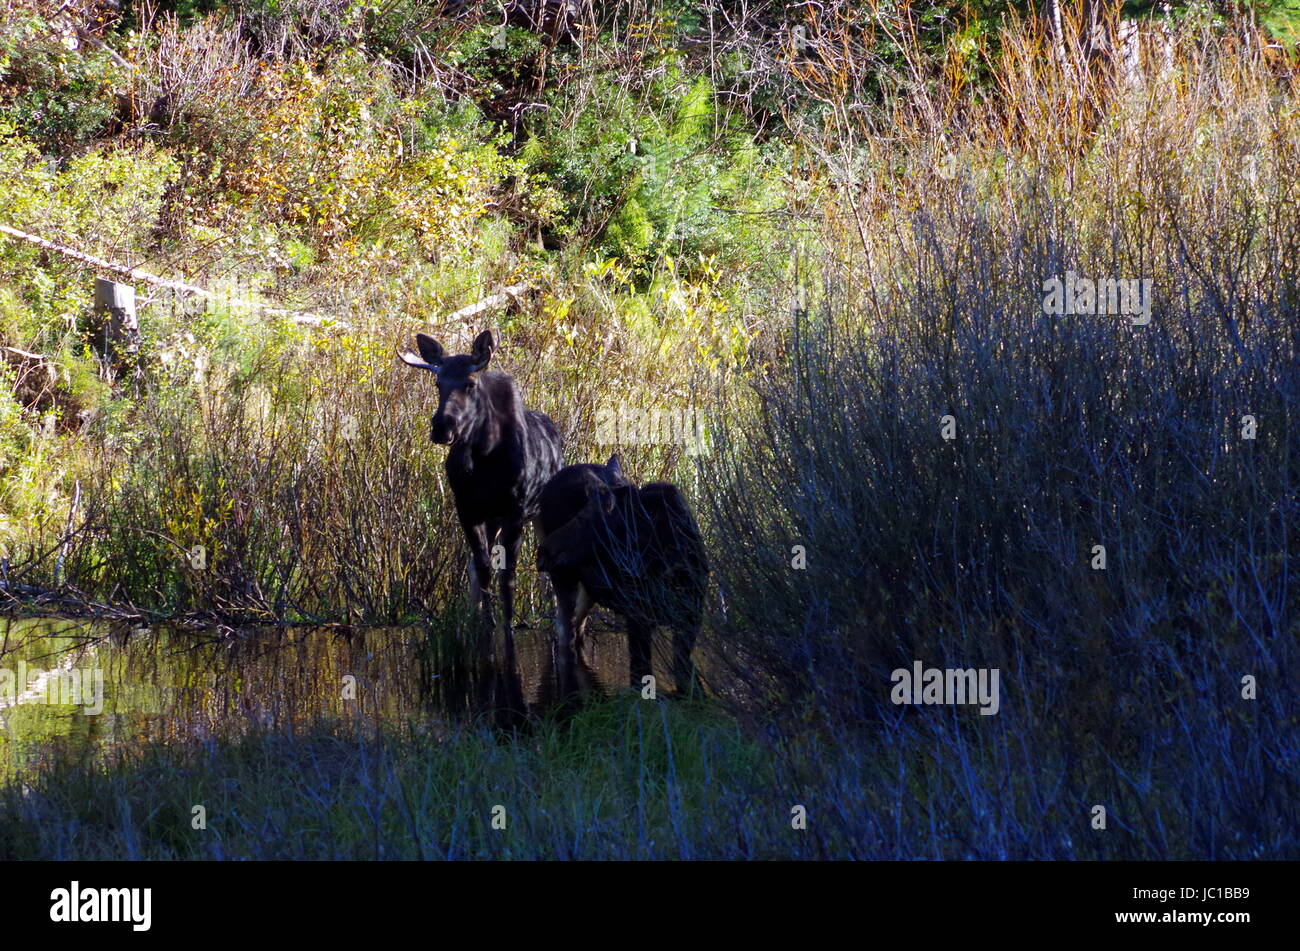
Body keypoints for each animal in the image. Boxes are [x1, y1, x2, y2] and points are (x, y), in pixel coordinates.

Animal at [399, 329, 563, 657]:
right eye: (438, 384)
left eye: (470, 383)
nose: (442, 426)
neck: (486, 455)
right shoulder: (468, 510)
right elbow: (483, 567)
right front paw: (485, 623)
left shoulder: (515, 512)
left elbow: (507, 576)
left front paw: (509, 625)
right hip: (493, 520)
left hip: (539, 515)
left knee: (546, 563)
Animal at [536, 455, 708, 694]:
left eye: (582, 518)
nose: (542, 553)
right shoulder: (637, 616)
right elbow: (640, 672)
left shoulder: (691, 614)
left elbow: (682, 670)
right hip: (564, 577)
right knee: (563, 632)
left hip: (587, 592)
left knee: (576, 630)